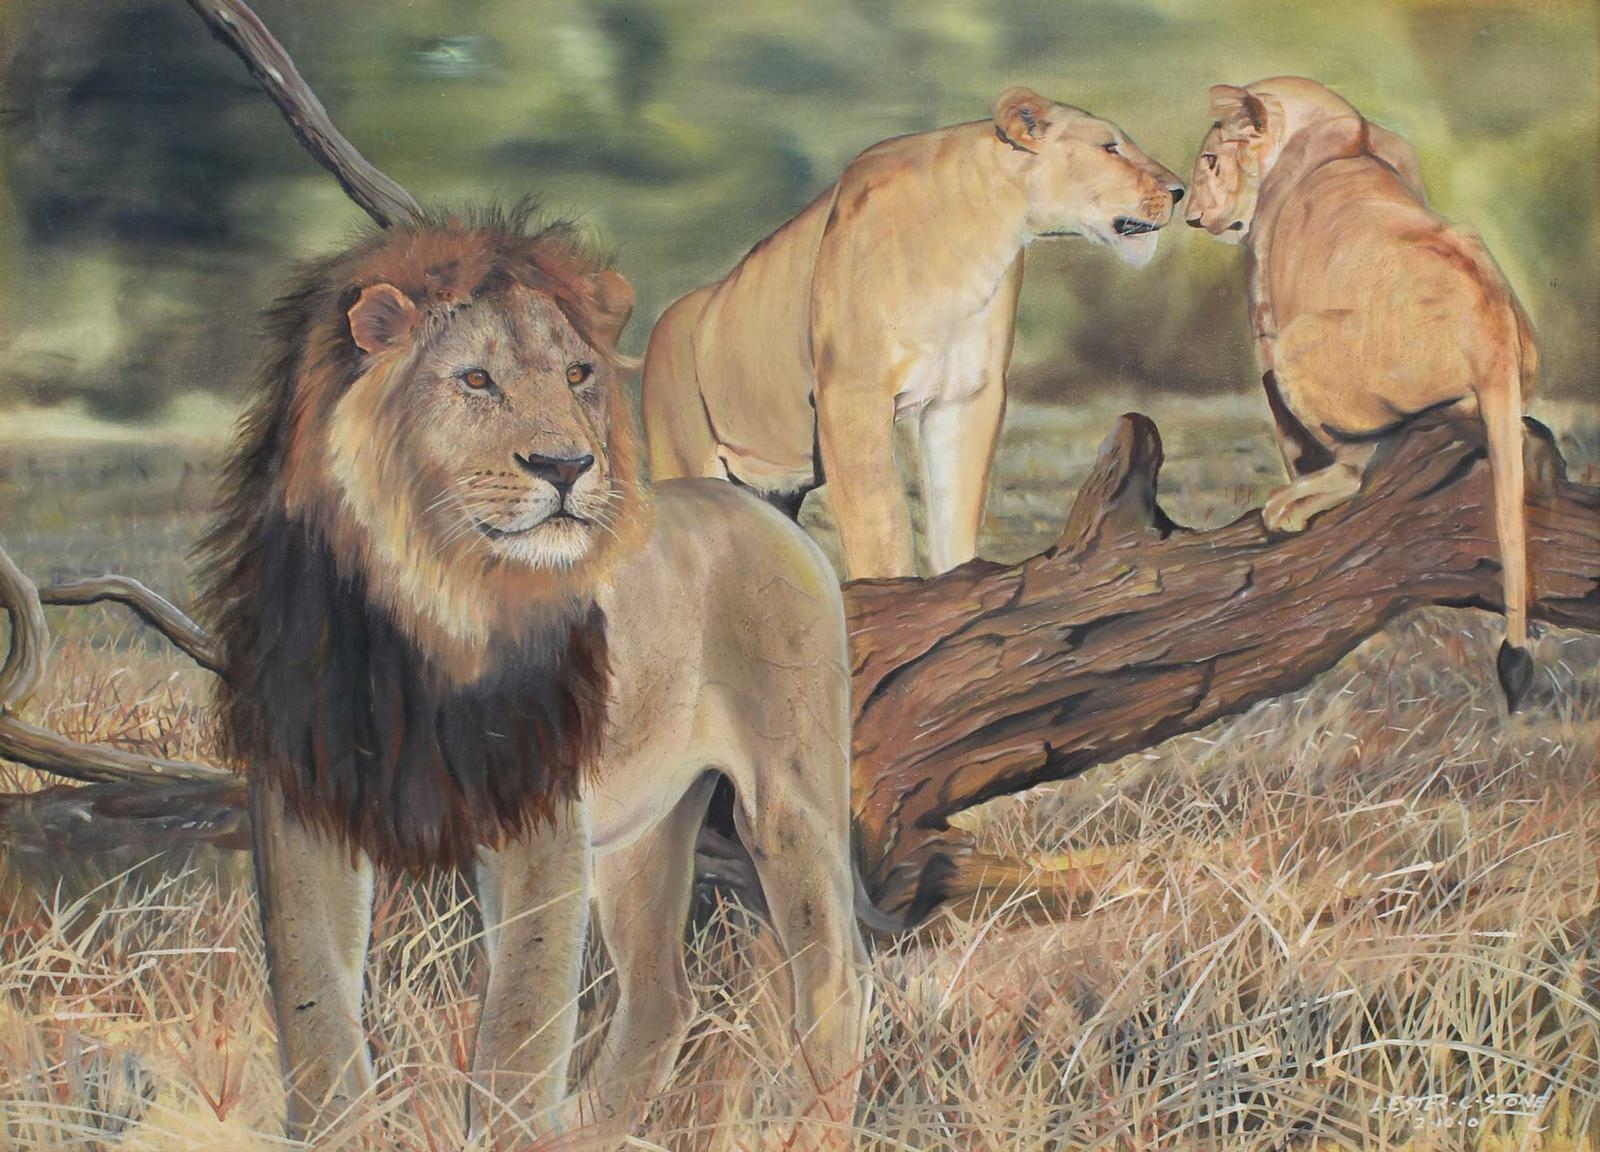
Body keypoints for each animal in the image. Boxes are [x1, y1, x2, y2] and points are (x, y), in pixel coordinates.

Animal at [197, 206, 940, 1145]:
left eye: (579, 373)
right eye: (476, 379)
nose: (564, 467)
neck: (429, 599)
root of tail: (759, 511)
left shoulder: (540, 803)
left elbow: (522, 1019)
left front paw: (507, 1132)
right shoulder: (302, 798)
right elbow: (315, 1000)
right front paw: (341, 1130)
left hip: (790, 796)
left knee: (837, 974)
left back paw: (804, 1127)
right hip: (640, 832)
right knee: (662, 995)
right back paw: (588, 1127)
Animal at [642, 87, 1185, 579]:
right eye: (1110, 147)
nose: (1179, 190)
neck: (974, 237)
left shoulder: (965, 396)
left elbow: (955, 509)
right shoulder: (851, 394)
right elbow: (880, 520)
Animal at [1184, 76, 1540, 709]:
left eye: (1210, 160)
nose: (1193, 217)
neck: (1335, 119)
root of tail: (1491, 332)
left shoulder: (1265, 323)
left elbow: (1291, 440)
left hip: (1298, 345)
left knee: (1357, 467)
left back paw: (1292, 507)